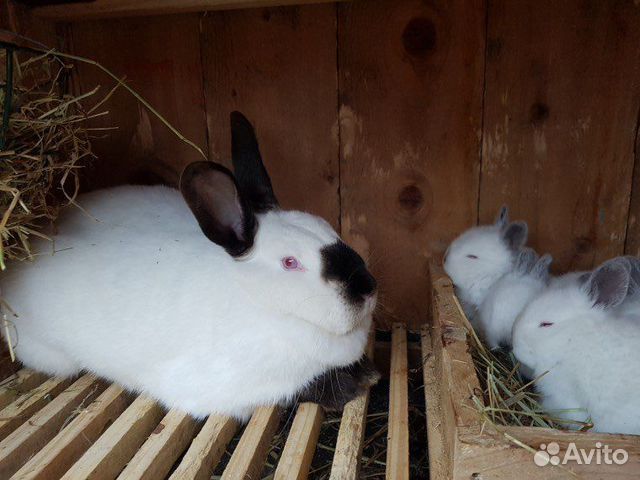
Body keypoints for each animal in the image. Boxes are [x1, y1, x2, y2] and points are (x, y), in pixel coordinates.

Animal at [1, 112, 379, 421]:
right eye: (290, 262)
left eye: (329, 228)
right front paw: (359, 383)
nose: (368, 288)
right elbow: (298, 390)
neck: (262, 303)